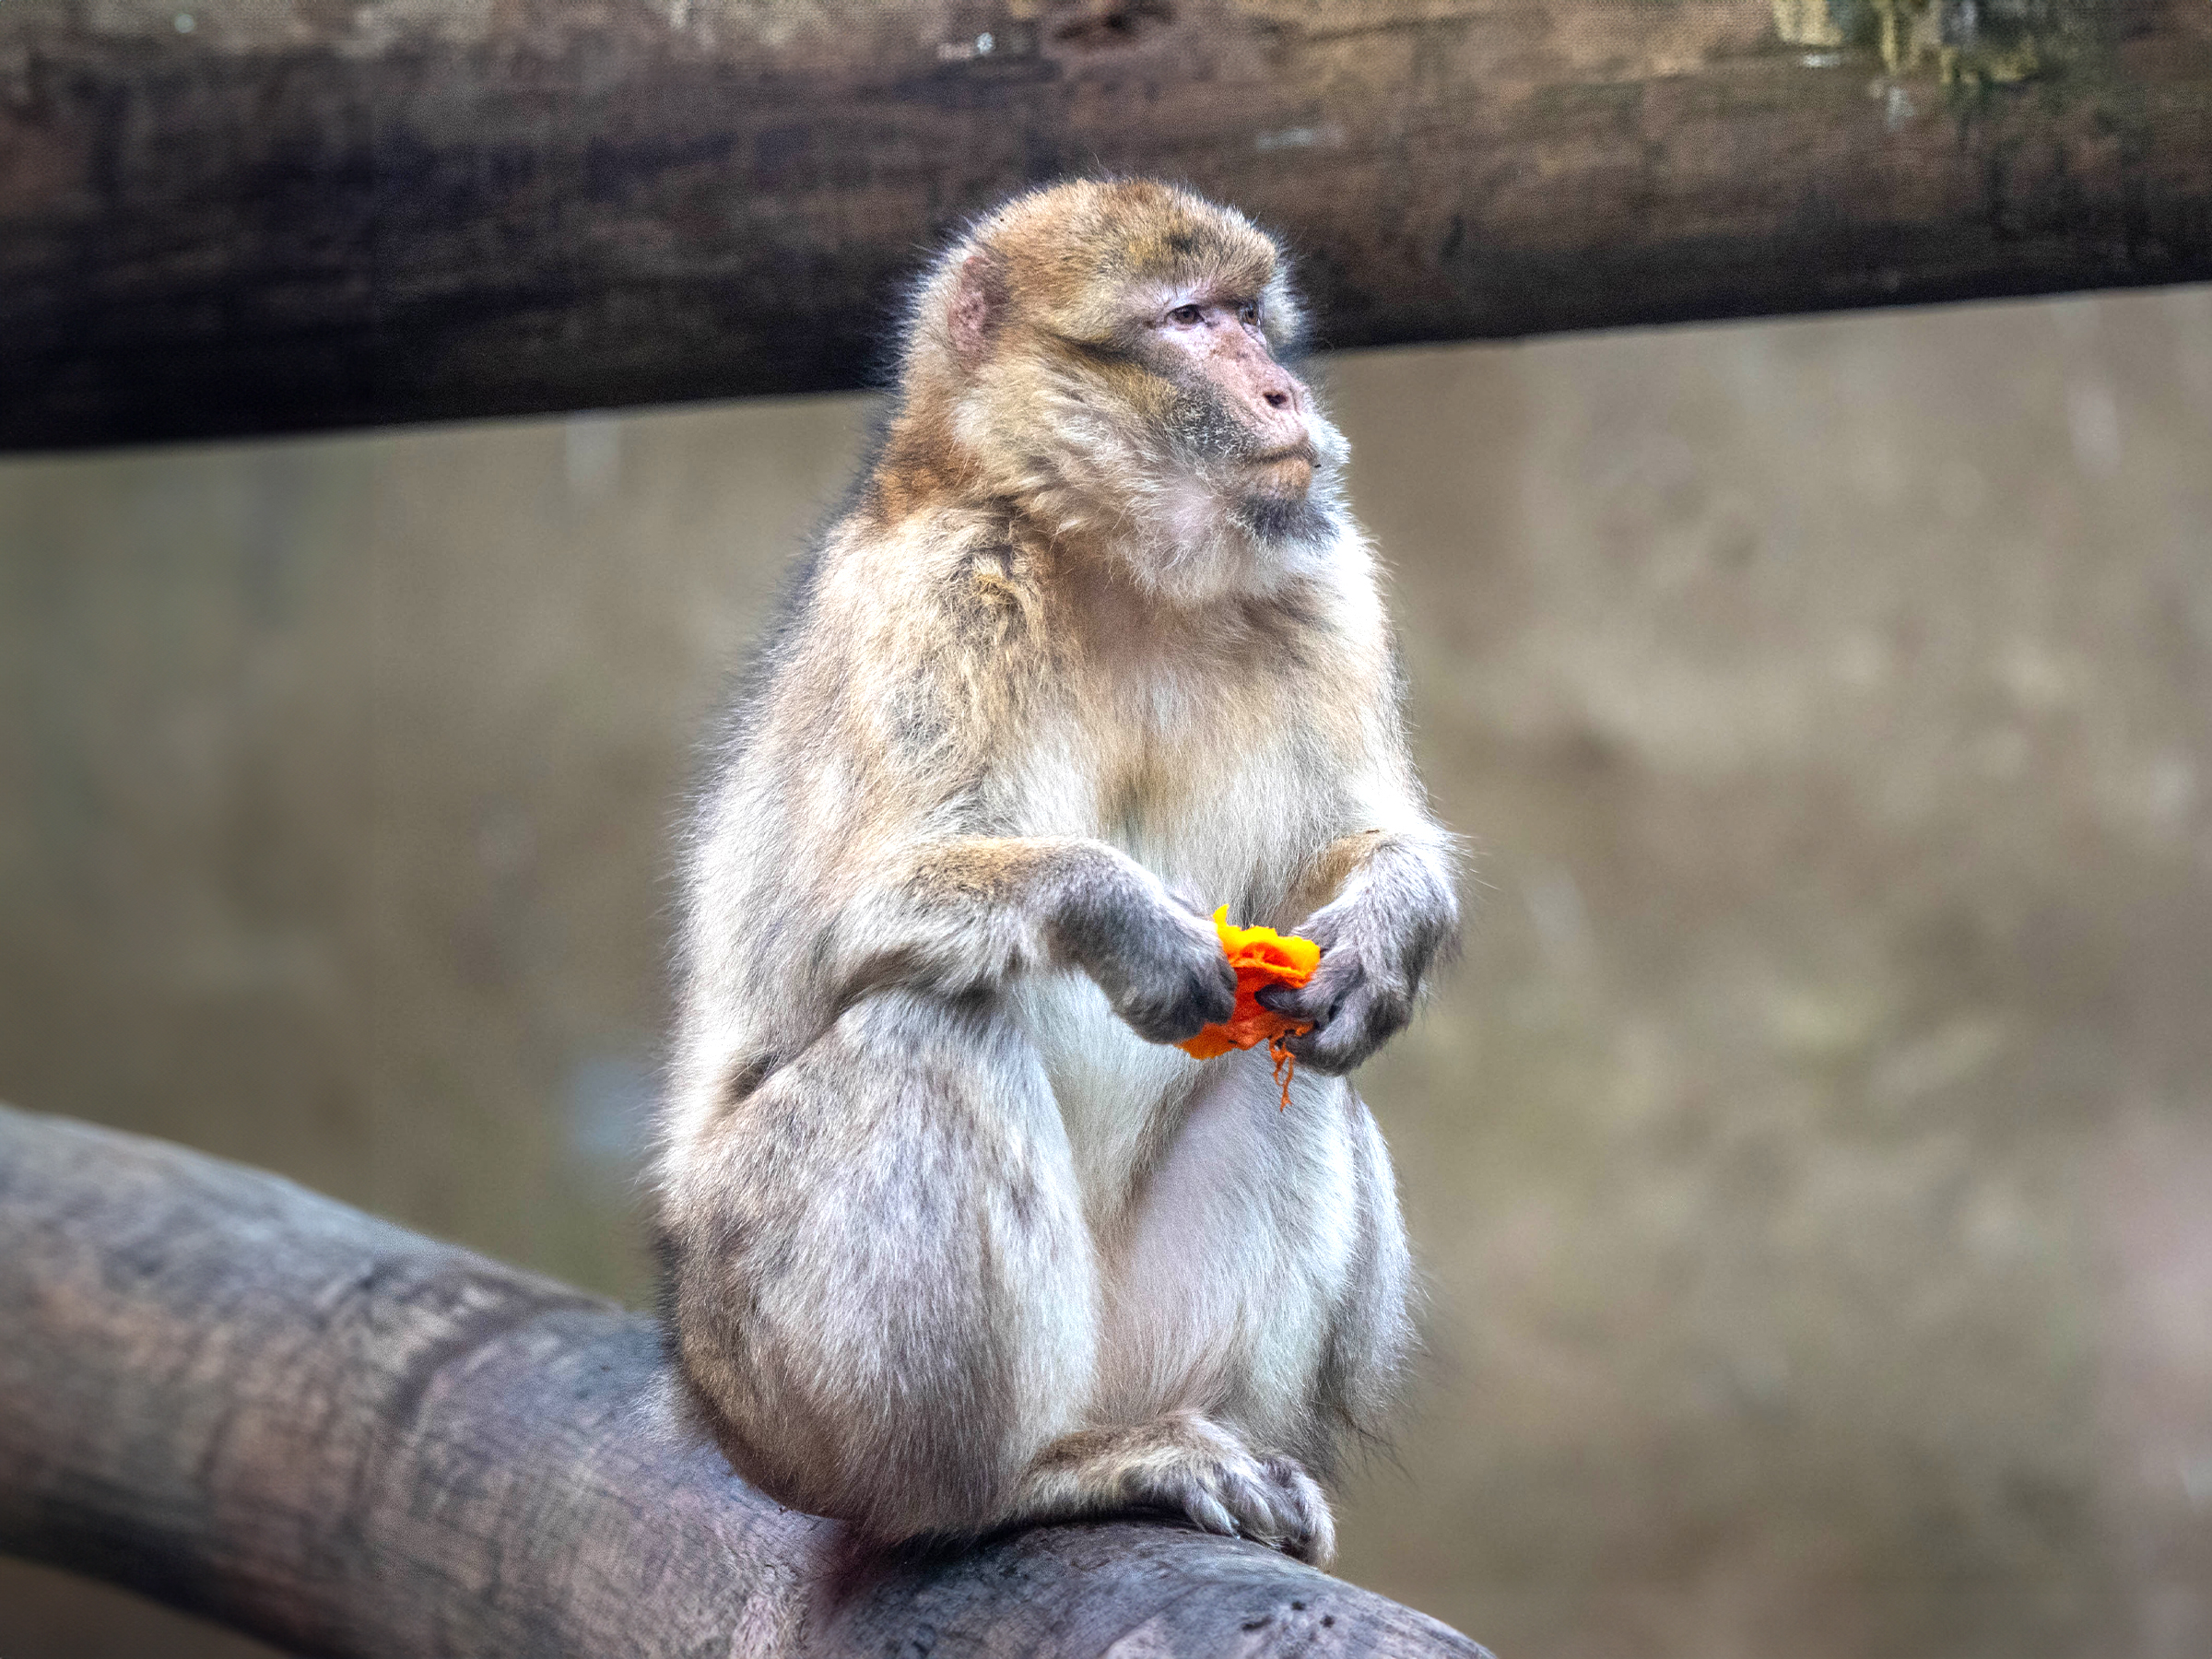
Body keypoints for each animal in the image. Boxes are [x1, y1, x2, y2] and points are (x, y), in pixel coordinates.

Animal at [655, 179, 1458, 1567]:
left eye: (1254, 316)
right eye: (1190, 322)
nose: (1283, 393)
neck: (1117, 568)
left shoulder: (1328, 588)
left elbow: (1350, 854)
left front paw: (1387, 928)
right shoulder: (940, 594)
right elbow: (849, 912)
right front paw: (1122, 916)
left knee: (1286, 1051)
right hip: (764, 1357)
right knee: (930, 1025)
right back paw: (1005, 1485)